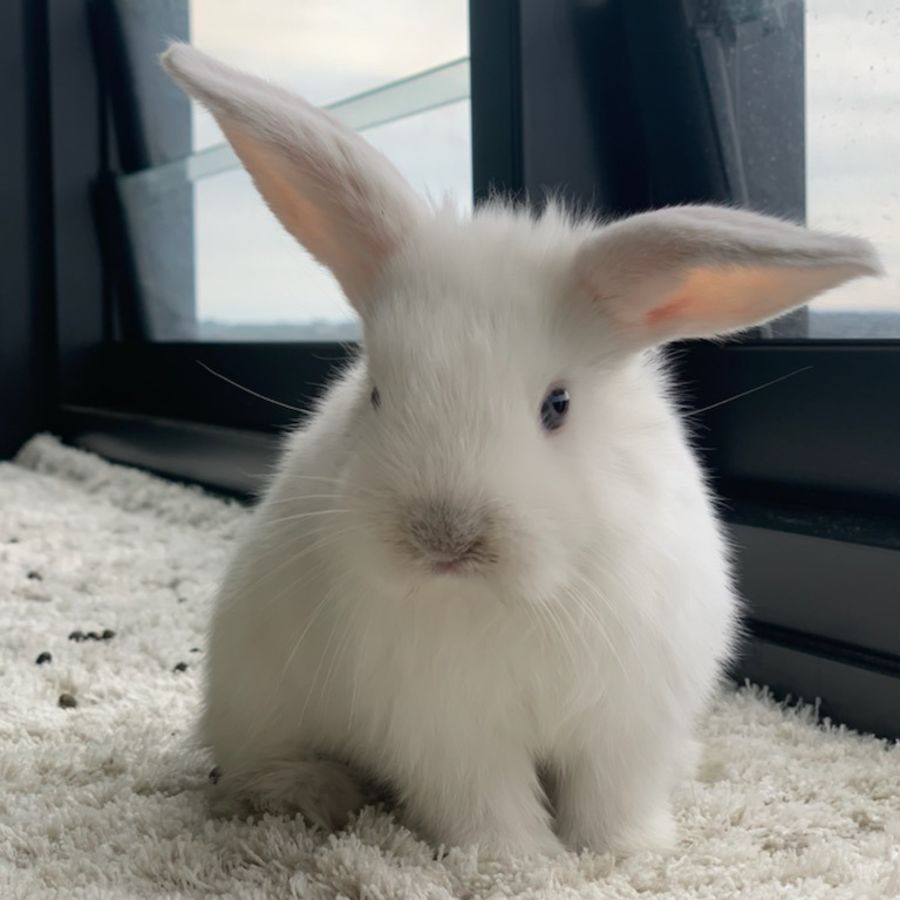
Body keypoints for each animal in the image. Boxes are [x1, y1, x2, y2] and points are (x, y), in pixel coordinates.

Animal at [162, 44, 882, 858]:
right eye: (376, 394)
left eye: (557, 406)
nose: (444, 537)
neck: (520, 599)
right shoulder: (449, 731)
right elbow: (487, 802)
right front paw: (518, 862)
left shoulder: (627, 721)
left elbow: (614, 795)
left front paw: (625, 852)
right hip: (257, 704)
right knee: (254, 764)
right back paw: (315, 795)